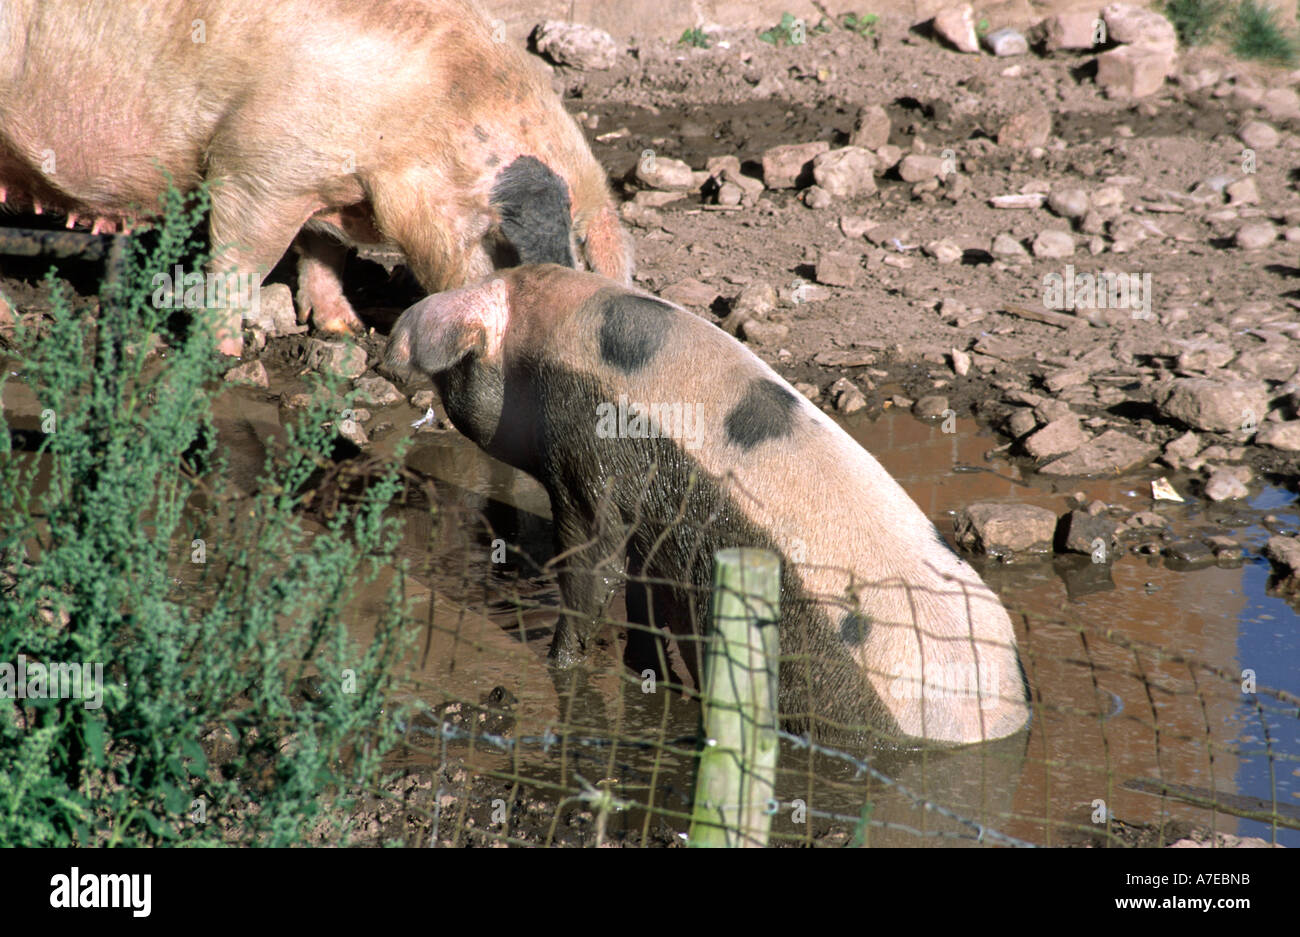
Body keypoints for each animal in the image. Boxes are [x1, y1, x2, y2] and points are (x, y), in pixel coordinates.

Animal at [0, 0, 632, 356]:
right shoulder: (258, 163)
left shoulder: (326, 187)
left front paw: (343, 330)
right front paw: (224, 354)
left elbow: (324, 252)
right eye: (505, 243)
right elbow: (242, 258)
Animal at [386, 265, 1030, 746]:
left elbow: (593, 564)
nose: (387, 353)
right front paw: (645, 675)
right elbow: (642, 591)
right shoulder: (655, 526)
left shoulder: (586, 458)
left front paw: (559, 666)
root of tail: (1002, 718)